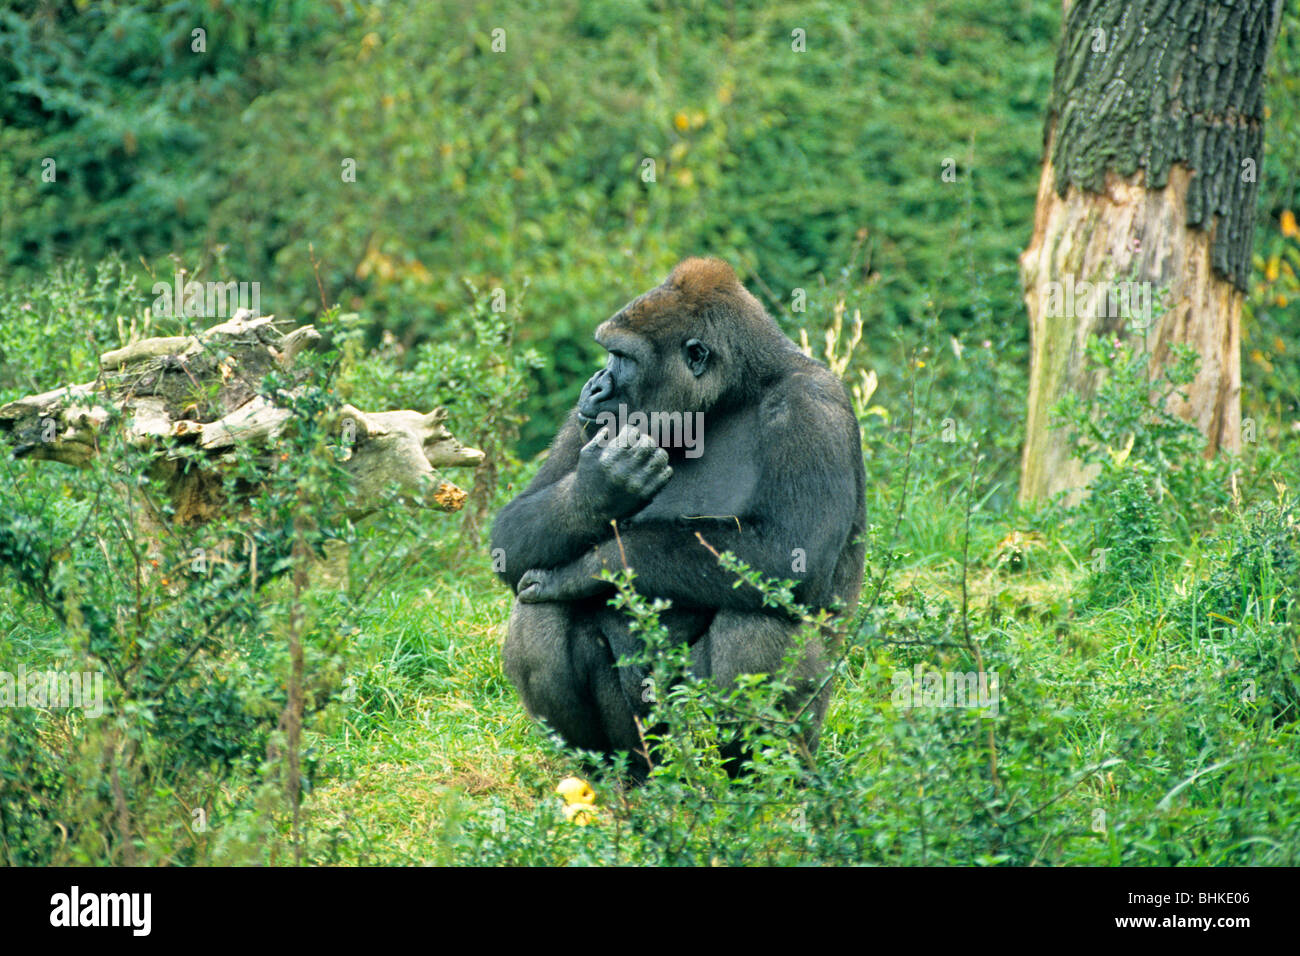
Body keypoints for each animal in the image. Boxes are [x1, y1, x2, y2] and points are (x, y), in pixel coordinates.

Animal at [491, 257, 866, 774]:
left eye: (622, 357)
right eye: (608, 354)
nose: (595, 384)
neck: (732, 394)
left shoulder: (813, 402)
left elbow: (789, 554)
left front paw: (588, 567)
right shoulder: (583, 420)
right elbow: (511, 532)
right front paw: (598, 490)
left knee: (760, 614)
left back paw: (759, 781)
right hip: (653, 748)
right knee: (539, 609)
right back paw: (612, 773)